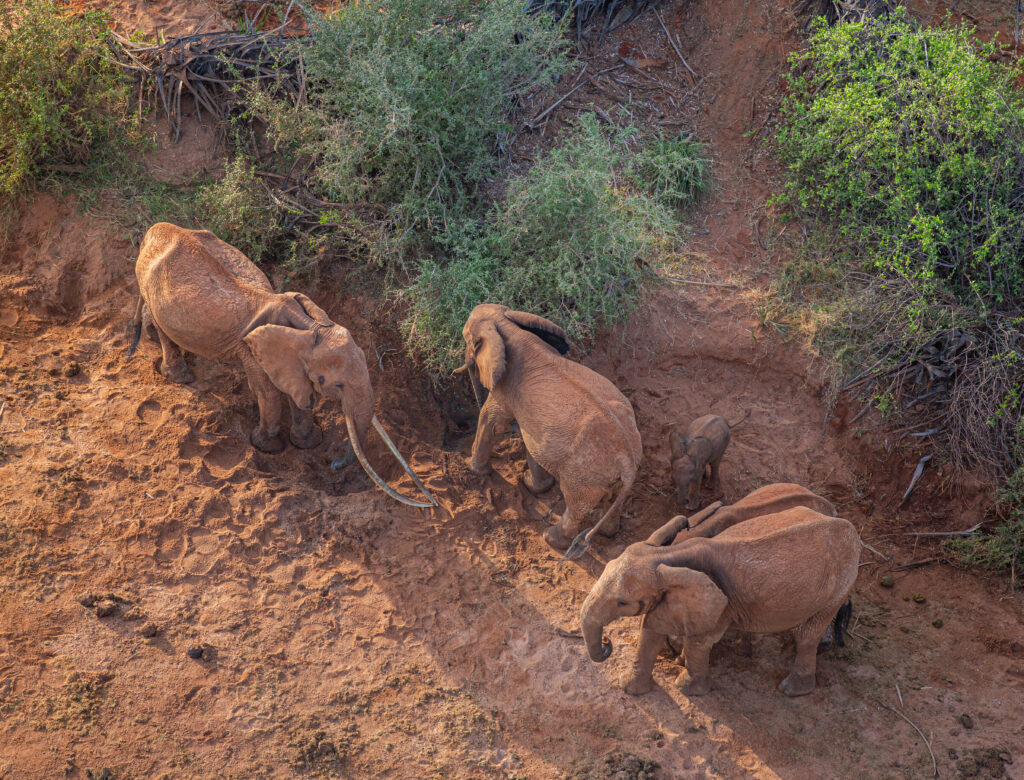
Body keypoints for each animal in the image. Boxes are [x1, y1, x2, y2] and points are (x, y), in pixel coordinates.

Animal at [127, 222, 435, 508]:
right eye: (333, 383)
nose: (333, 464)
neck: (310, 327)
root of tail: (156, 229)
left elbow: (299, 398)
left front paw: (308, 443)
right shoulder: (251, 351)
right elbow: (269, 393)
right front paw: (267, 447)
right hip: (148, 285)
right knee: (165, 332)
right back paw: (179, 377)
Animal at [454, 304, 642, 551]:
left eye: (466, 338)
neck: (506, 326)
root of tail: (628, 464)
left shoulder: (504, 390)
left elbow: (491, 420)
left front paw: (473, 469)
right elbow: (531, 443)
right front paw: (532, 483)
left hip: (582, 478)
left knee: (576, 507)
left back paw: (551, 539)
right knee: (611, 499)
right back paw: (608, 532)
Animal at [580, 502, 859, 698]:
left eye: (622, 602)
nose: (607, 644)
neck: (667, 554)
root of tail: (848, 526)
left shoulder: (722, 602)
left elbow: (699, 641)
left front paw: (686, 688)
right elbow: (651, 629)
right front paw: (629, 688)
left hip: (840, 583)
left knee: (807, 634)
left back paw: (791, 690)